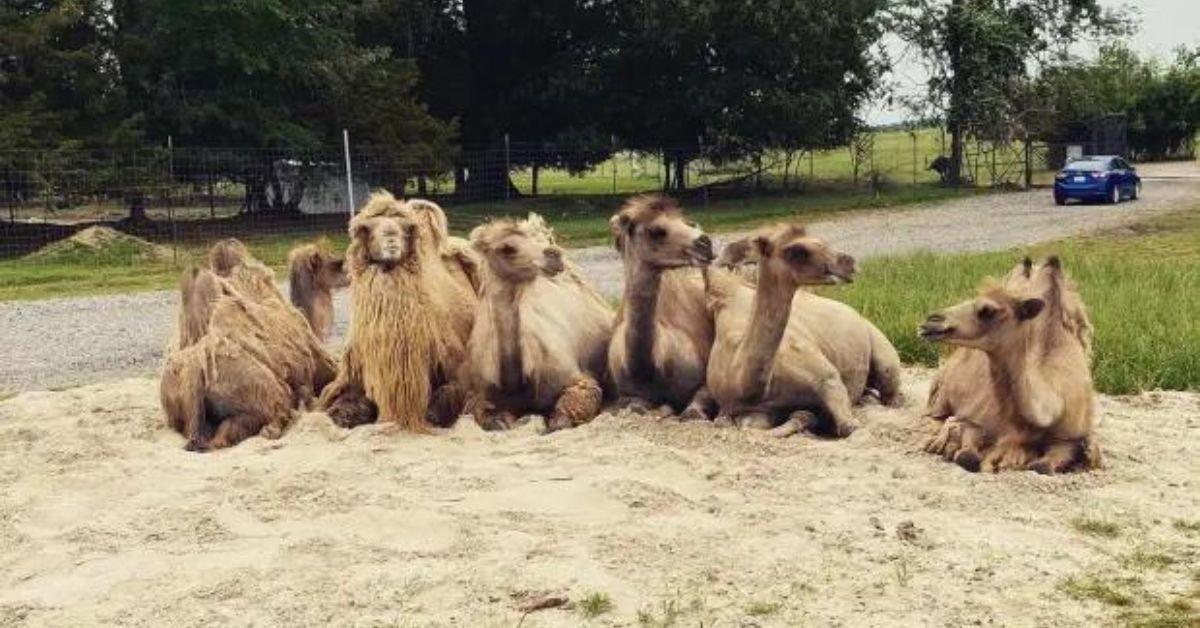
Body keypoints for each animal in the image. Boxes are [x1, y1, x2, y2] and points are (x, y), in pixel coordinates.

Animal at [317, 192, 479, 432]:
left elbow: (447, 398)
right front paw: (344, 413)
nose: (391, 237)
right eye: (366, 228)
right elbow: (341, 401)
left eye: (406, 227)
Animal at [462, 214, 615, 432]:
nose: (554, 254)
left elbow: (561, 421)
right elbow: (489, 417)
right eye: (507, 248)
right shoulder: (478, 392)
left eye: (542, 240)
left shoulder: (578, 379)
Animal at [607, 195, 718, 418]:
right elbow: (636, 406)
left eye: (686, 222)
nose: (705, 243)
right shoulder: (627, 394)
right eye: (656, 231)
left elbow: (693, 410)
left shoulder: (704, 382)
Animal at [703, 224, 901, 437]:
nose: (849, 263)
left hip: (881, 349)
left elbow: (848, 425)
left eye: (822, 241)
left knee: (890, 390)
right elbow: (743, 425)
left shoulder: (828, 378)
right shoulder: (751, 409)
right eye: (798, 251)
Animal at [918, 256, 1099, 473]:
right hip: (942, 393)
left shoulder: (1070, 437)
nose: (930, 321)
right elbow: (967, 455)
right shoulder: (983, 424)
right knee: (935, 415)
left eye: (987, 310)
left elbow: (1043, 465)